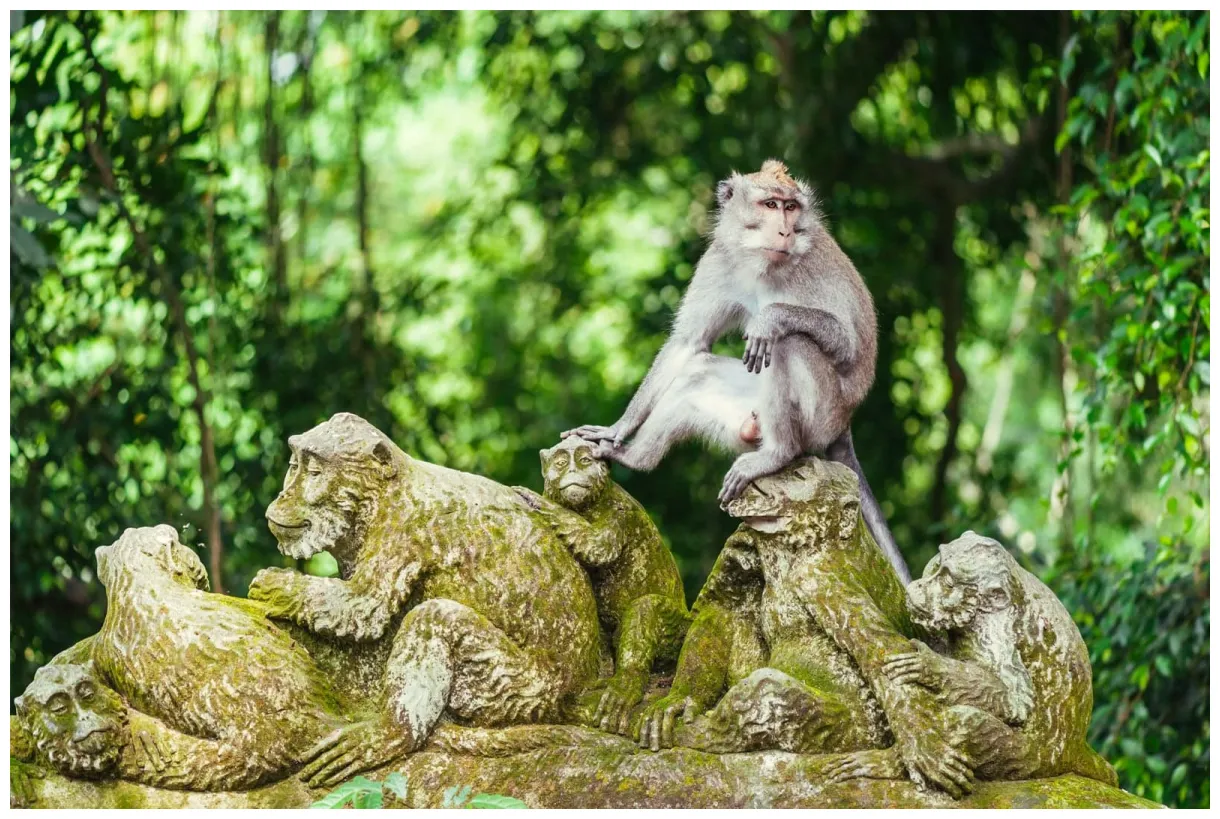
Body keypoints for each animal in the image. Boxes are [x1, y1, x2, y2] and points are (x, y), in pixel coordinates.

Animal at [563, 159, 910, 584]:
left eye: (791, 207)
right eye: (770, 204)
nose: (784, 230)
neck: (764, 263)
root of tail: (844, 425)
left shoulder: (811, 267)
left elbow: (847, 345)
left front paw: (770, 318)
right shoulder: (719, 261)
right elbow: (688, 344)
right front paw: (617, 429)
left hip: (821, 418)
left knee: (790, 344)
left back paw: (778, 453)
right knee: (696, 373)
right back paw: (634, 457)